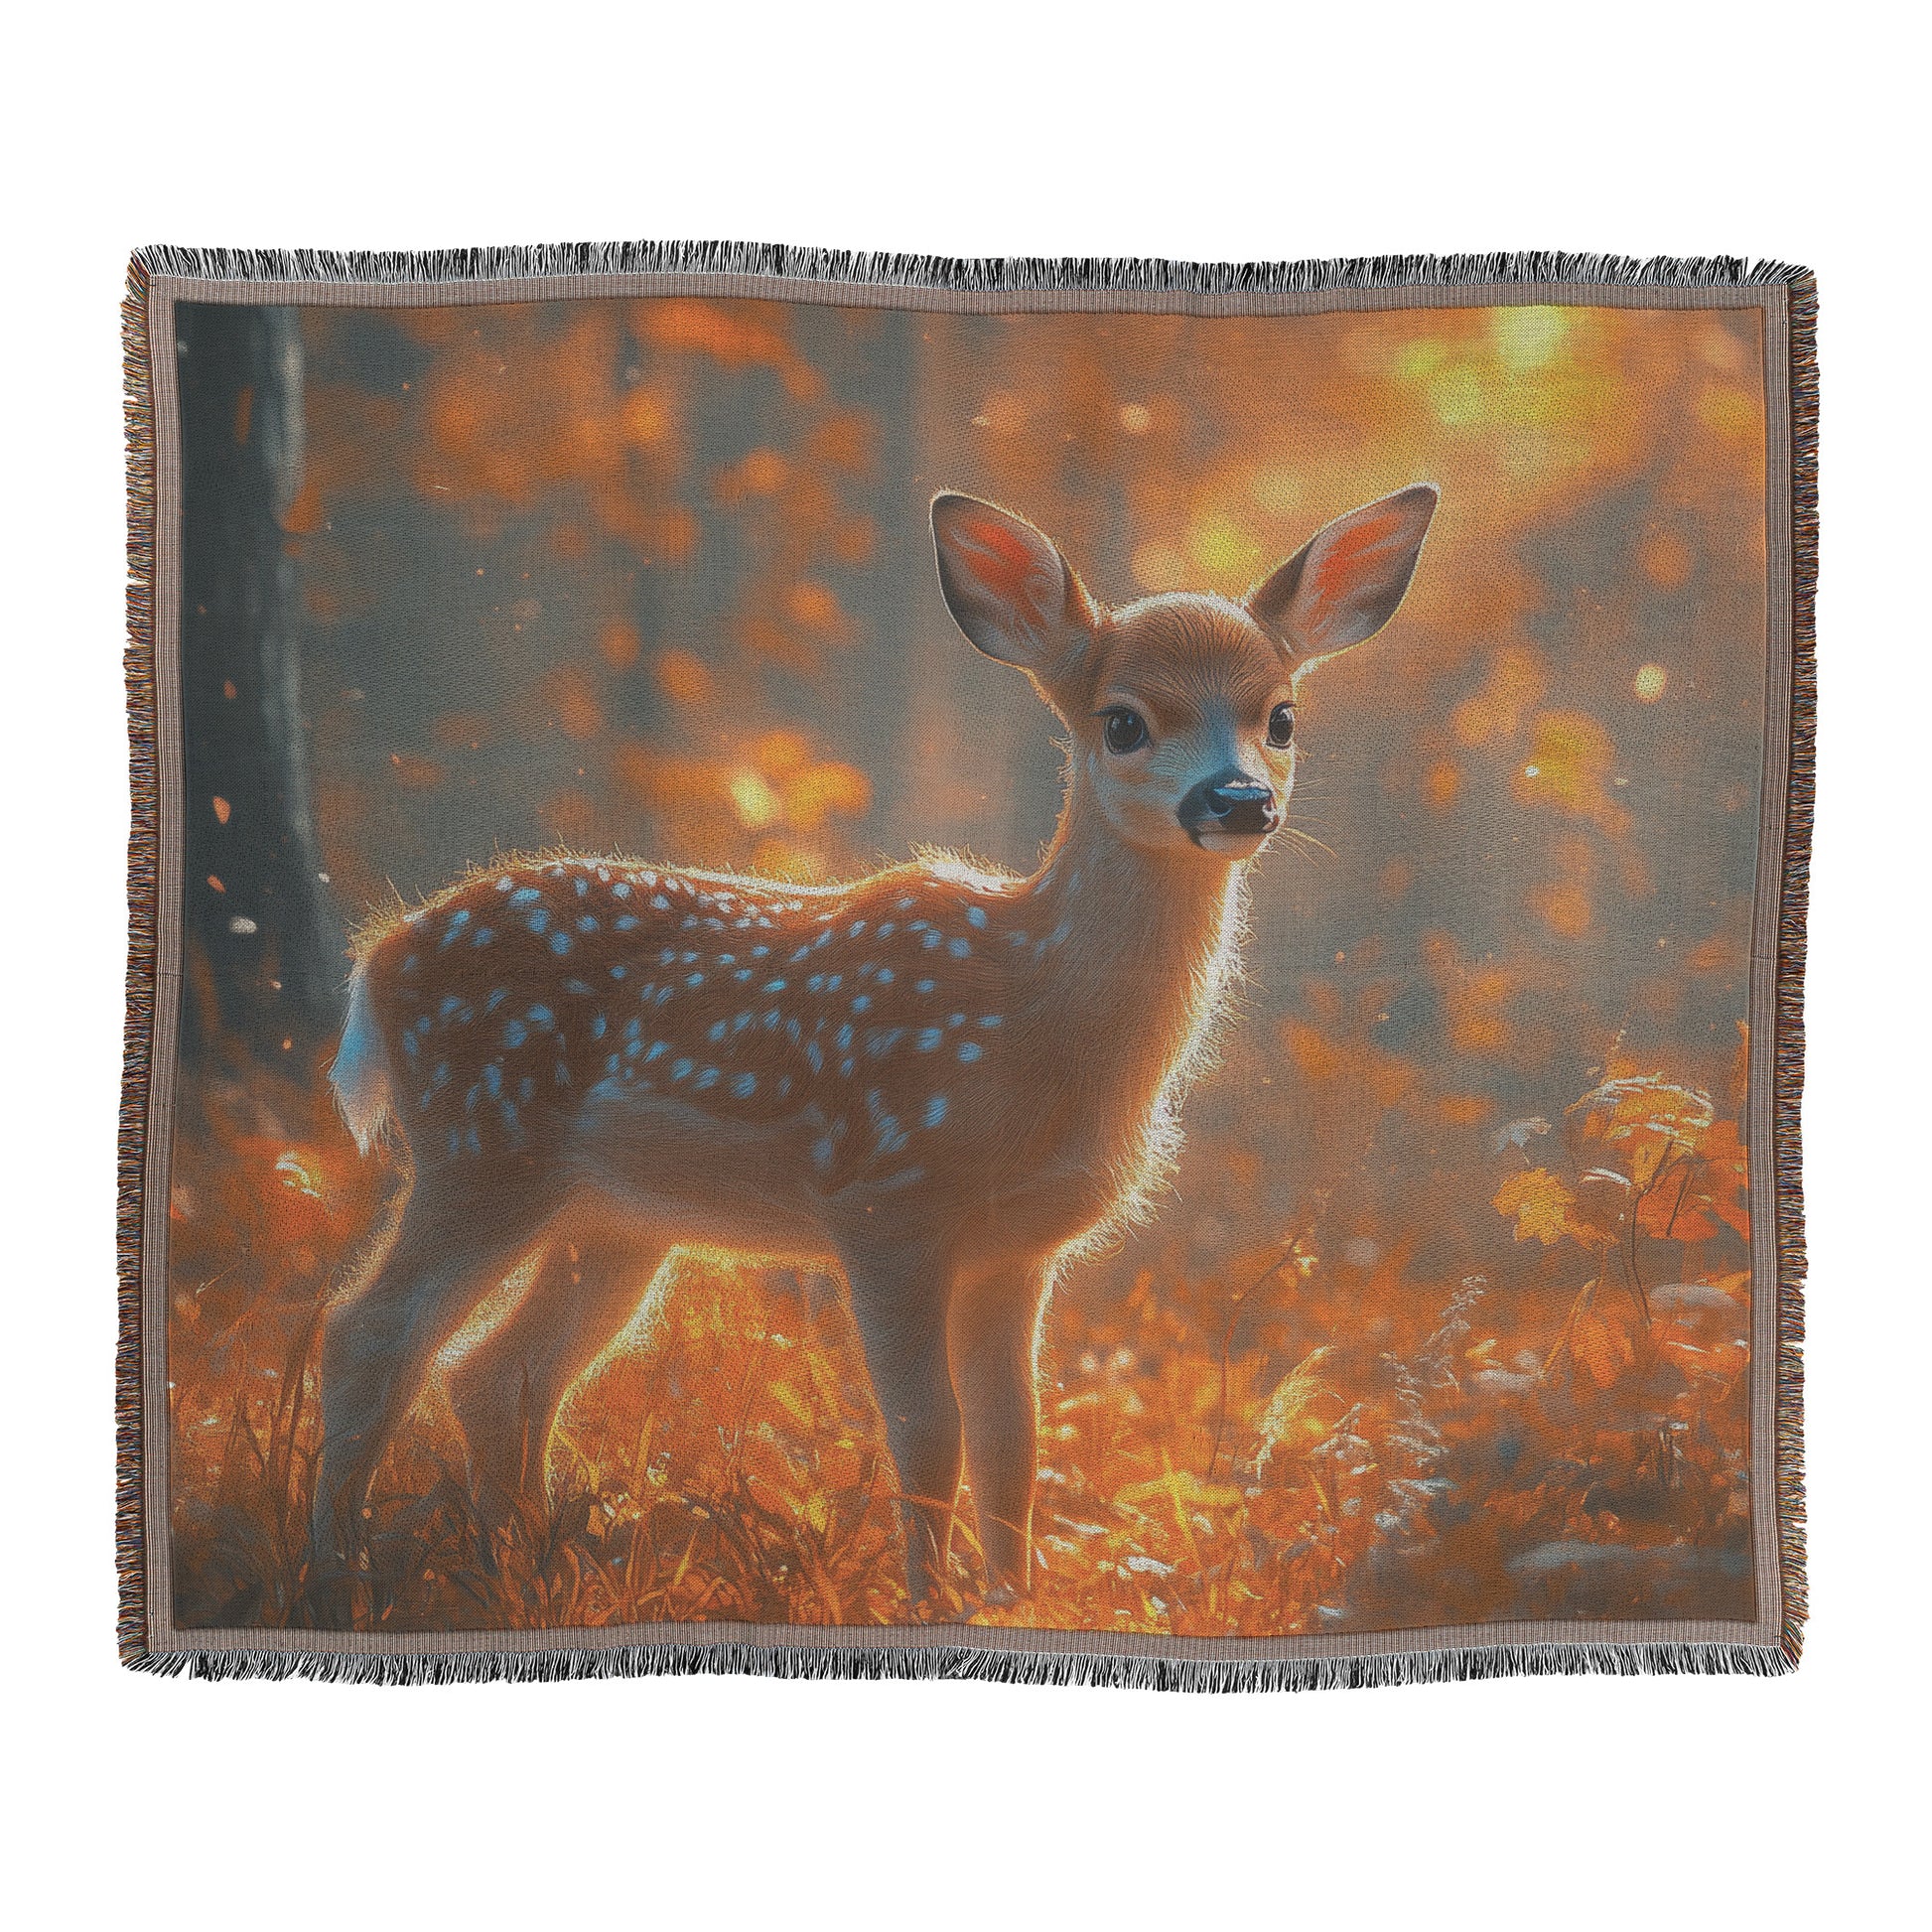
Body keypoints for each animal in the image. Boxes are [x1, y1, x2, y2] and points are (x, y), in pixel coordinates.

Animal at [315, 480, 1438, 1612]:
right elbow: (926, 1429)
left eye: (1279, 716)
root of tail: (378, 959)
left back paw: (527, 1577)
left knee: (499, 1371)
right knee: (368, 1333)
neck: (1038, 1015)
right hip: (484, 1141)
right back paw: (339, 1574)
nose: (1237, 799)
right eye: (1123, 720)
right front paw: (929, 1603)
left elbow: (1014, 1440)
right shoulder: (885, 1197)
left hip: (615, 1215)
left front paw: (1014, 1603)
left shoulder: (1017, 1244)